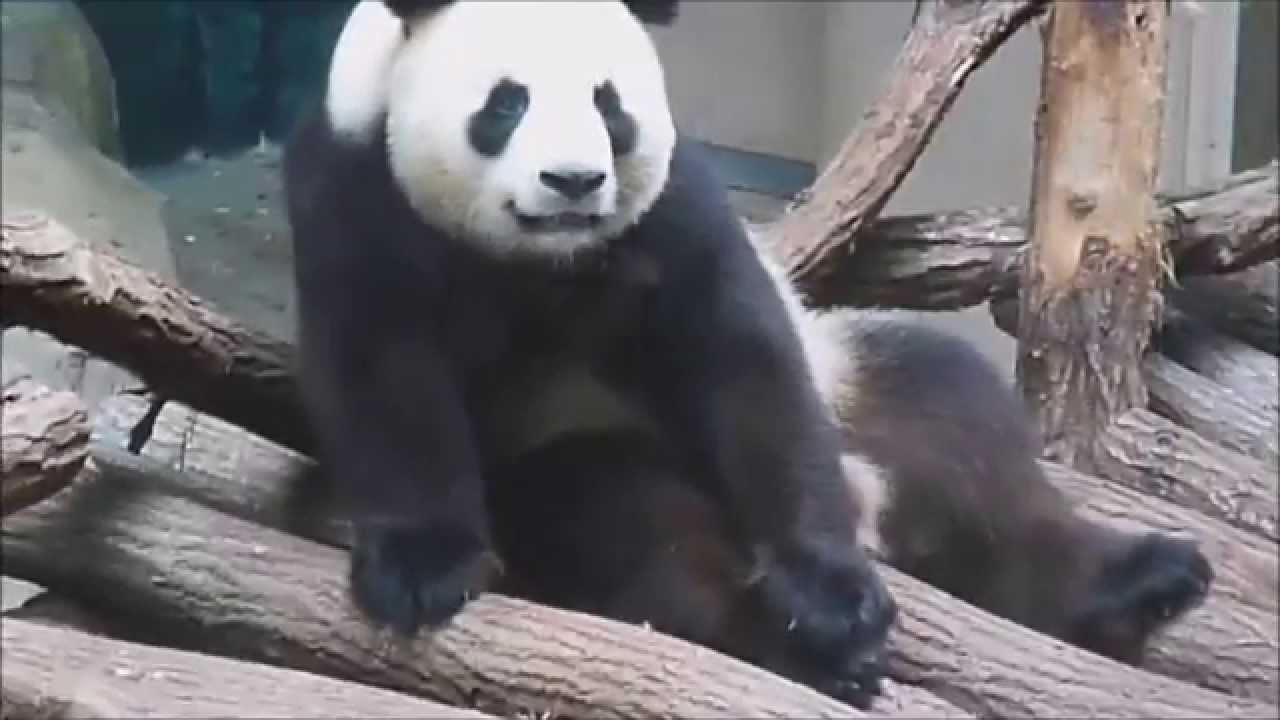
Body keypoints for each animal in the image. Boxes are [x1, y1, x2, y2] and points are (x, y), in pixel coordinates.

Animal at [284, 0, 1213, 708]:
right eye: (506, 103)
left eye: (609, 105)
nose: (575, 182)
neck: (544, 260)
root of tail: (874, 503)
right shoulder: (357, 190)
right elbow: (383, 369)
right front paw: (423, 569)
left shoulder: (668, 209)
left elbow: (742, 355)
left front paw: (828, 593)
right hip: (578, 457)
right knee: (637, 528)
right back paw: (800, 648)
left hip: (853, 378)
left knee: (966, 434)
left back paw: (1136, 580)